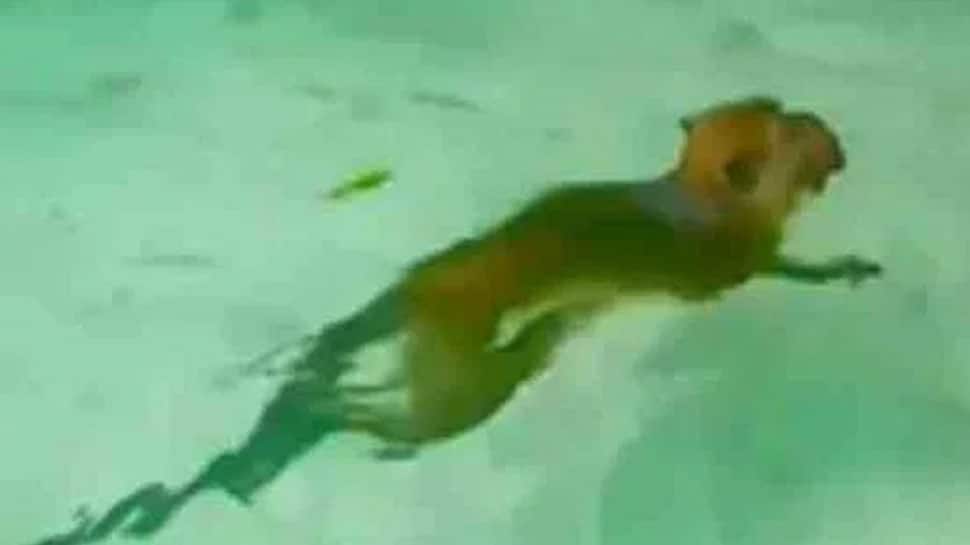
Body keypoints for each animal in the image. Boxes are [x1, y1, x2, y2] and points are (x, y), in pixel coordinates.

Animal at [25, 95, 882, 545]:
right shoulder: (724, 261)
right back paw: (364, 424)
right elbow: (775, 268)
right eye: (780, 126)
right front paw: (845, 267)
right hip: (463, 369)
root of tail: (412, 300)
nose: (822, 134)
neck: (686, 197)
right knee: (429, 409)